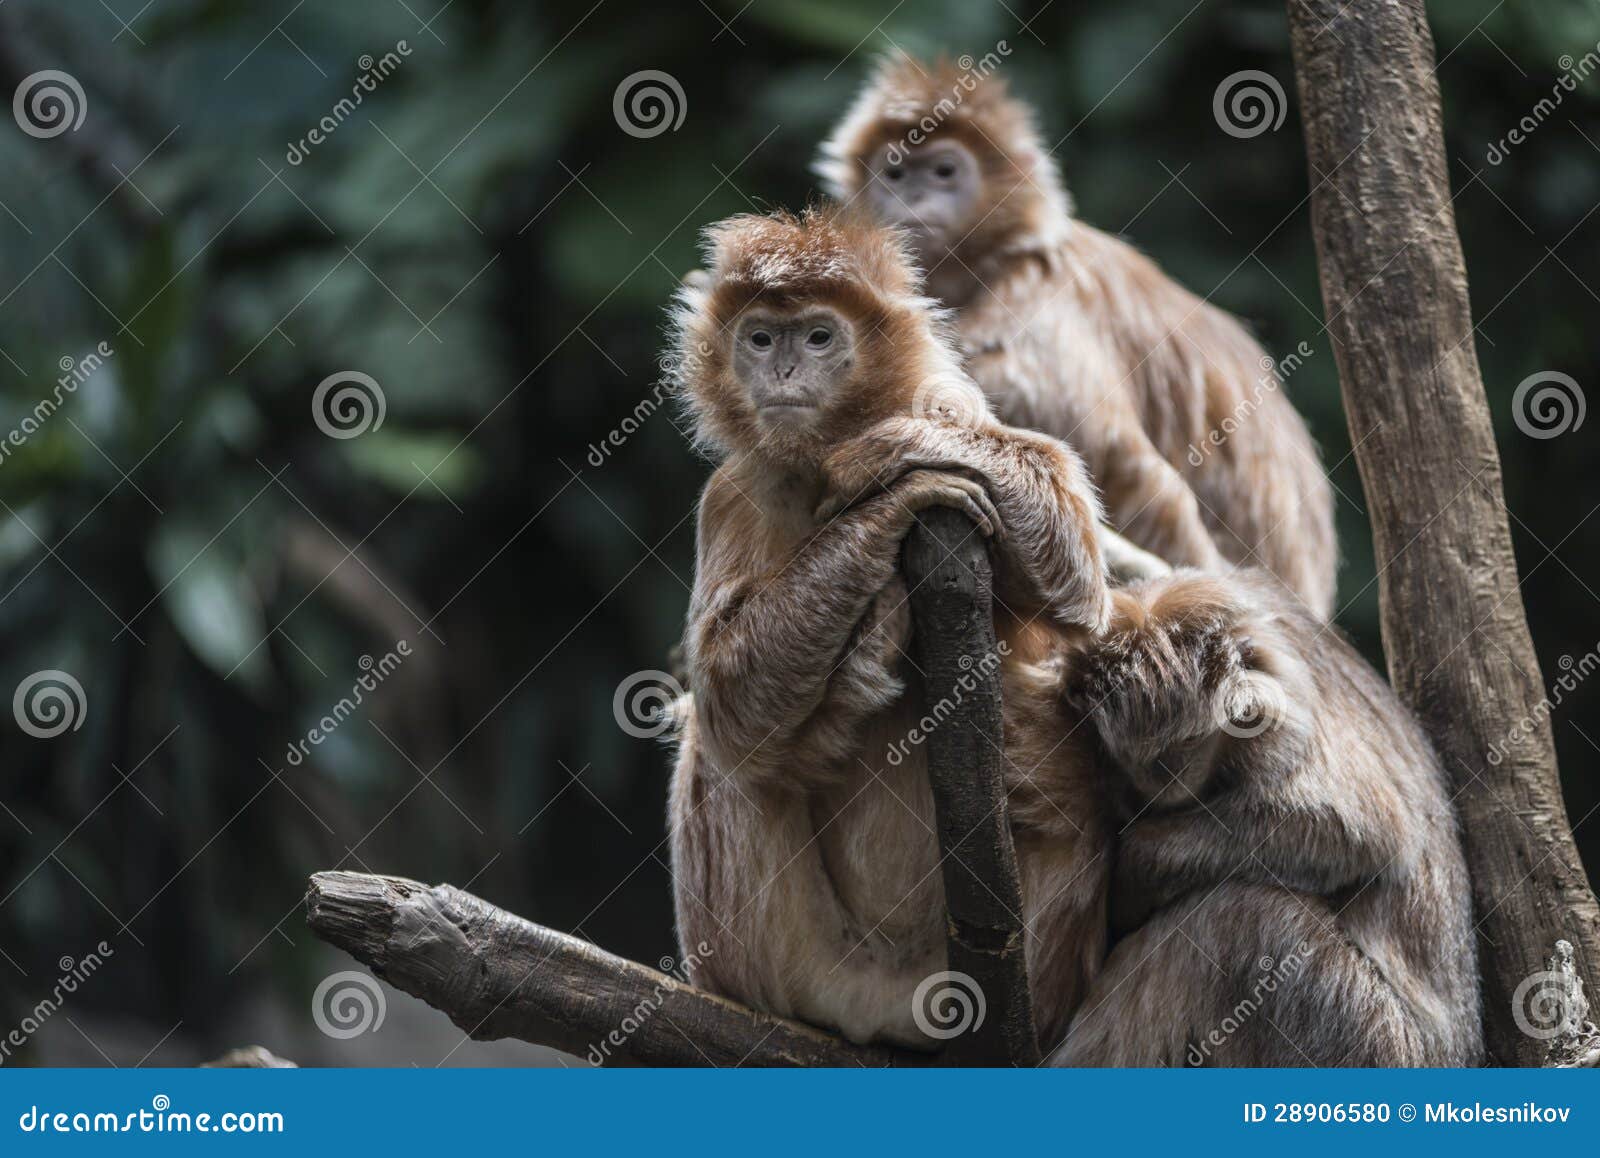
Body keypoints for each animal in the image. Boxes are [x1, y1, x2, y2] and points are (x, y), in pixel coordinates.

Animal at [663, 205, 1123, 1048]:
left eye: (818, 337)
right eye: (760, 338)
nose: (782, 373)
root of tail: (891, 1007)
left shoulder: (947, 400)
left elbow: (1076, 571)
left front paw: (886, 452)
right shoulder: (733, 489)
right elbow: (727, 698)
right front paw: (881, 513)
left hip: (1039, 958)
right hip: (784, 963)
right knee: (728, 748)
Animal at [1046, 567, 1482, 1066]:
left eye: (1185, 744)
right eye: (1130, 757)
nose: (1161, 779)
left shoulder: (1282, 717)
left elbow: (1362, 834)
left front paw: (1133, 877)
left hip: (1365, 1037)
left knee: (1238, 913)